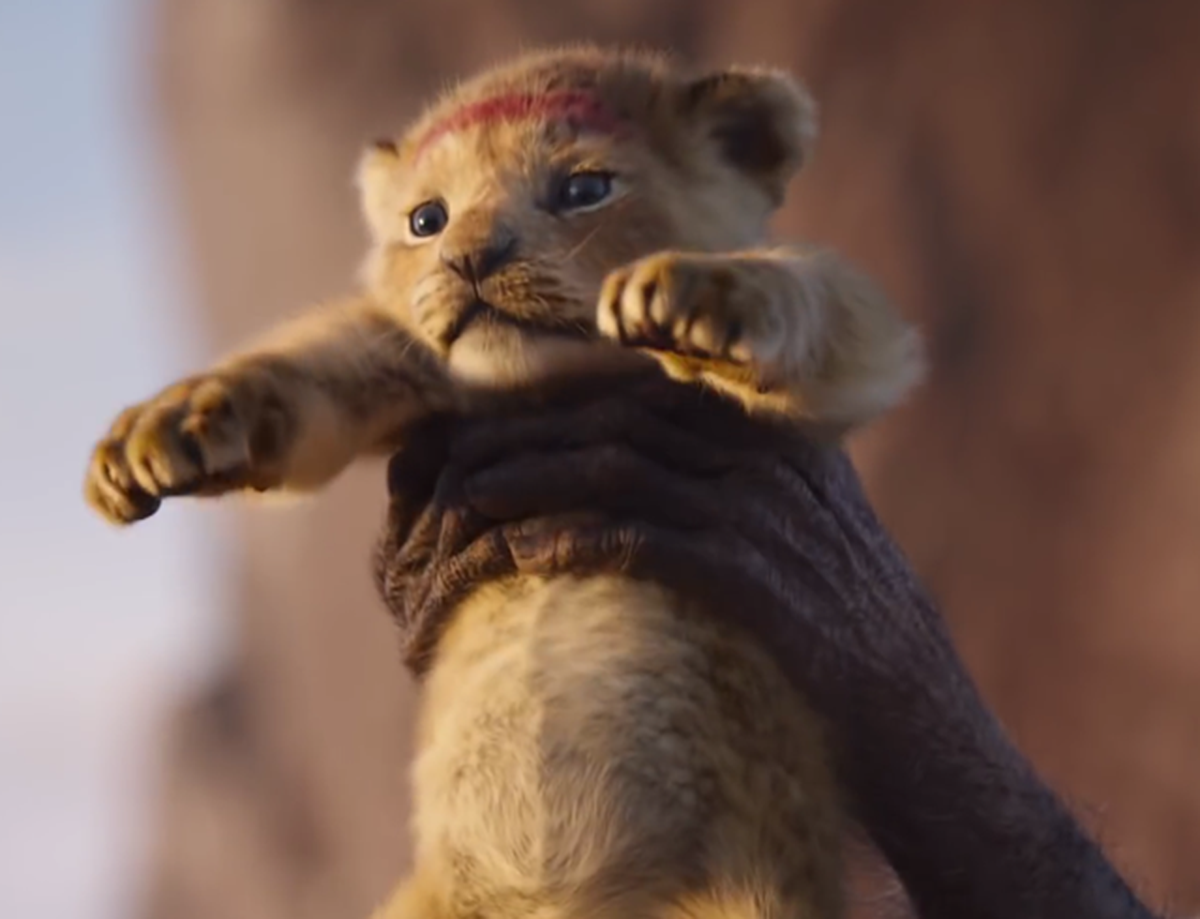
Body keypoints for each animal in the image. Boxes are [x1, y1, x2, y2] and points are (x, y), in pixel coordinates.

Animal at [85, 45, 923, 919]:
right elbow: (303, 366)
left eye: (584, 189)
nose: (468, 258)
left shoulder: (853, 358)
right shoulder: (395, 358)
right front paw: (159, 435)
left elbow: (825, 300)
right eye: (427, 219)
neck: (547, 385)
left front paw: (691, 295)